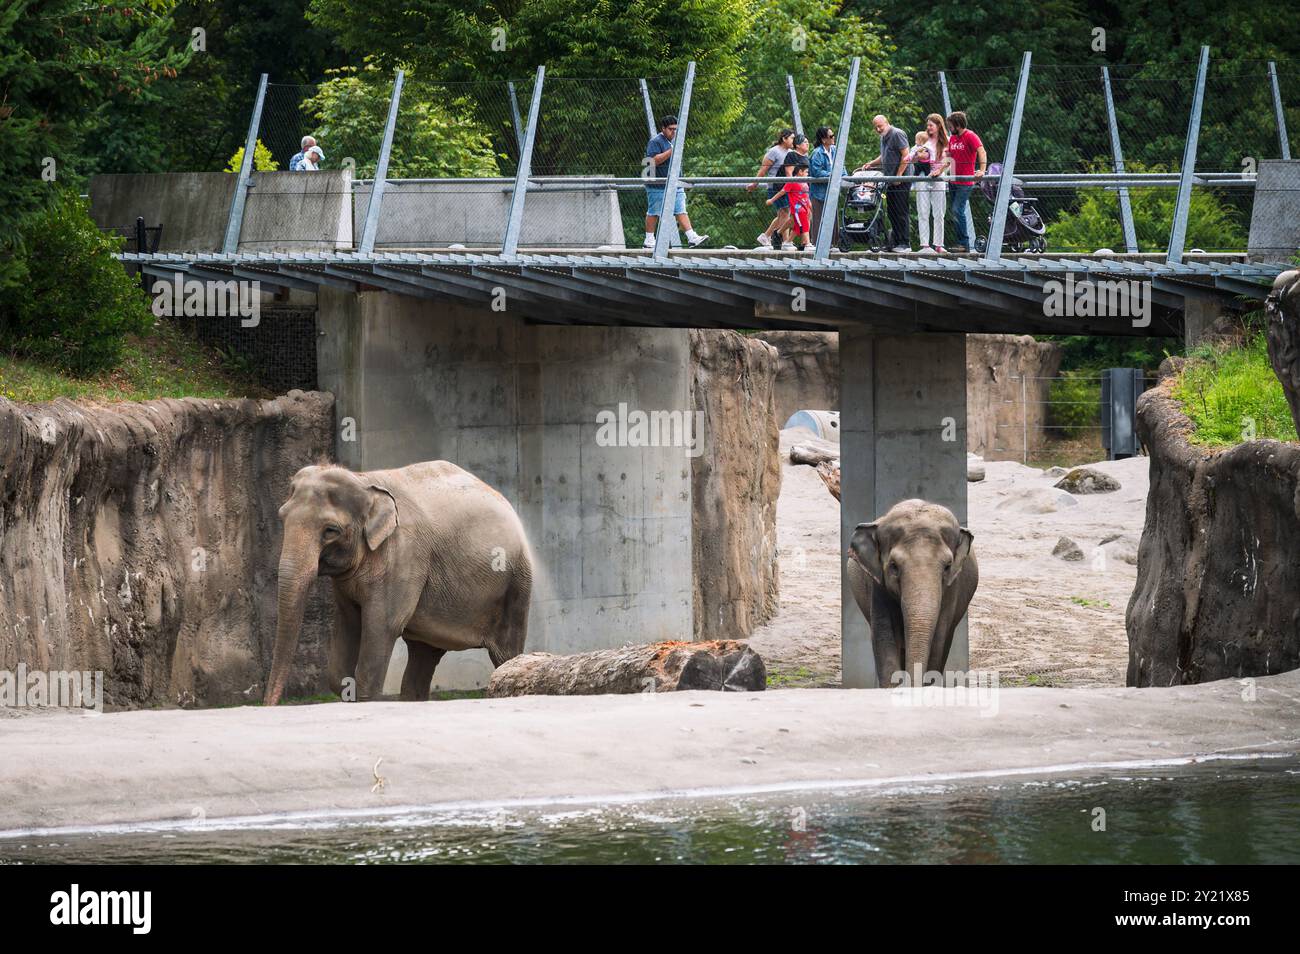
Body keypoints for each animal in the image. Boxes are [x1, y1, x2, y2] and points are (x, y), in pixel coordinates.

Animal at [264, 461, 533, 706]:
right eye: (282, 517)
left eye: (331, 530)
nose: (269, 705)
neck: (364, 480)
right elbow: (347, 631)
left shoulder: (404, 557)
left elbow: (382, 625)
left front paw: (367, 699)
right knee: (422, 655)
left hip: (515, 586)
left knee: (506, 654)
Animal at [846, 498, 978, 686]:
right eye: (893, 566)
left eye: (947, 567)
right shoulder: (878, 585)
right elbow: (884, 634)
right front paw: (893, 685)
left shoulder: (953, 587)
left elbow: (939, 636)